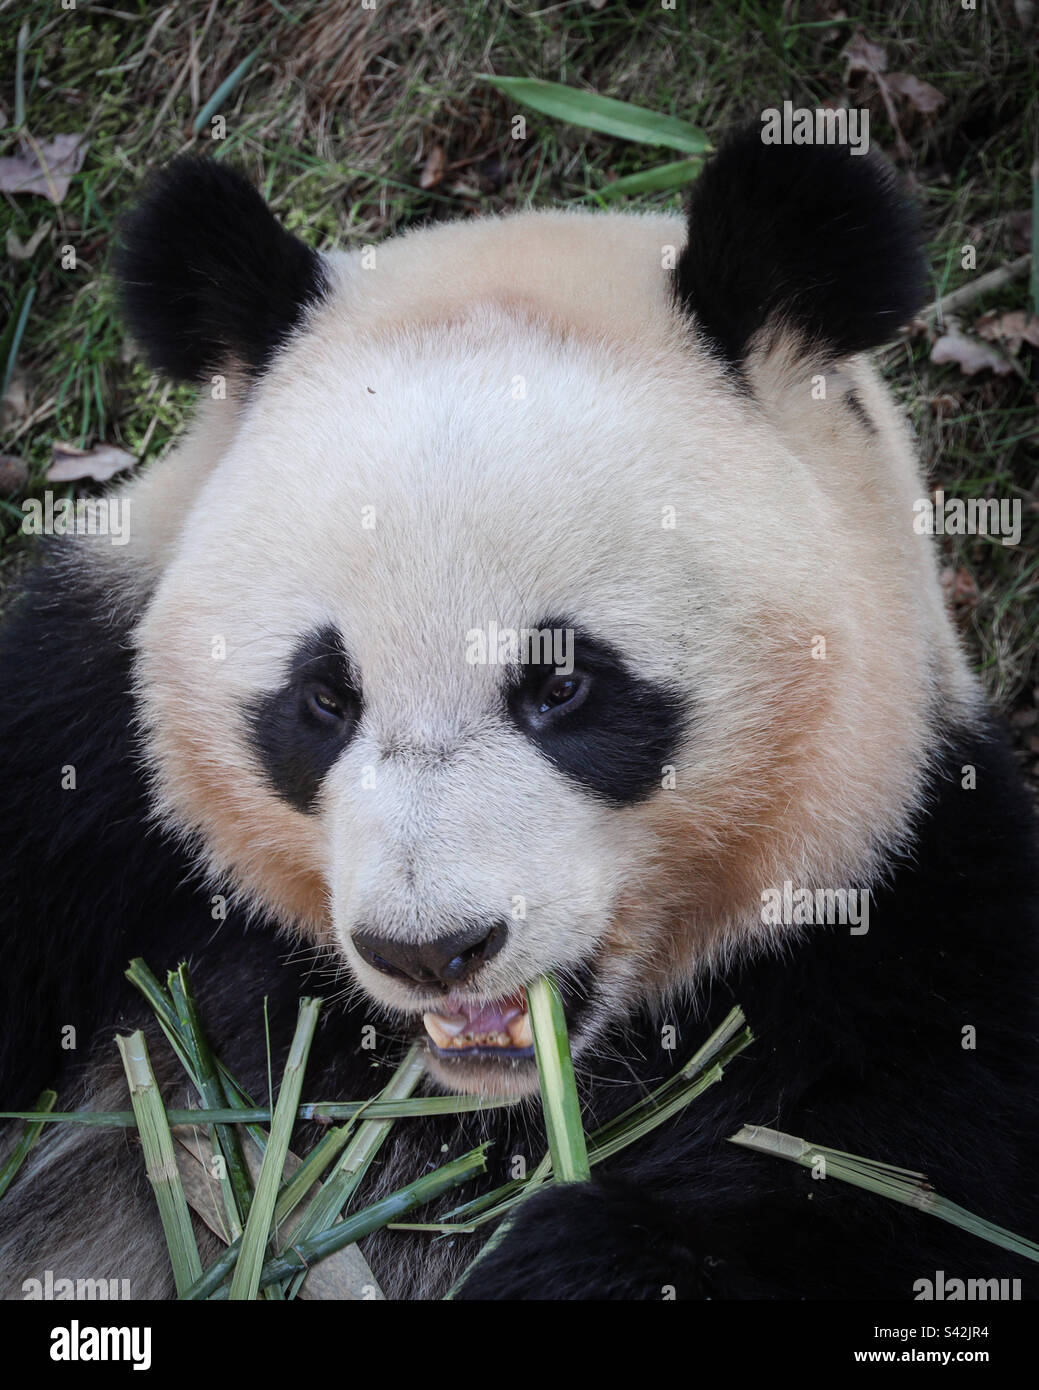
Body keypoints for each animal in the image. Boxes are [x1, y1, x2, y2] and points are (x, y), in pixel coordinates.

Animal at [0, 125, 1036, 1303]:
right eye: (325, 697)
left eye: (561, 686)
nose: (429, 949)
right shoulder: (75, 737)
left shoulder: (909, 895)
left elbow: (914, 1191)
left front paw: (566, 1260)